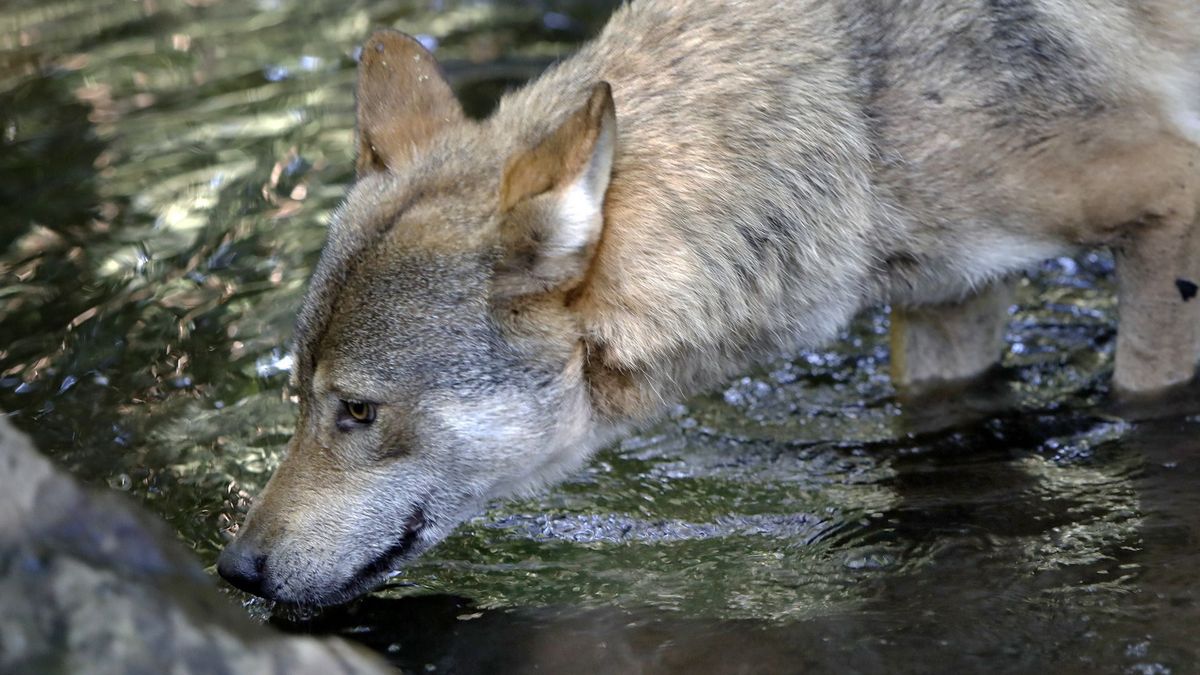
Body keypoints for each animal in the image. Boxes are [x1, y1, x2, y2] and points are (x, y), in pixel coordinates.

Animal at [218, 0, 1200, 605]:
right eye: (299, 398)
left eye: (357, 410)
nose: (234, 568)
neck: (857, 114)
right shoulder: (950, 298)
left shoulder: (1173, 206)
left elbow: (1147, 391)